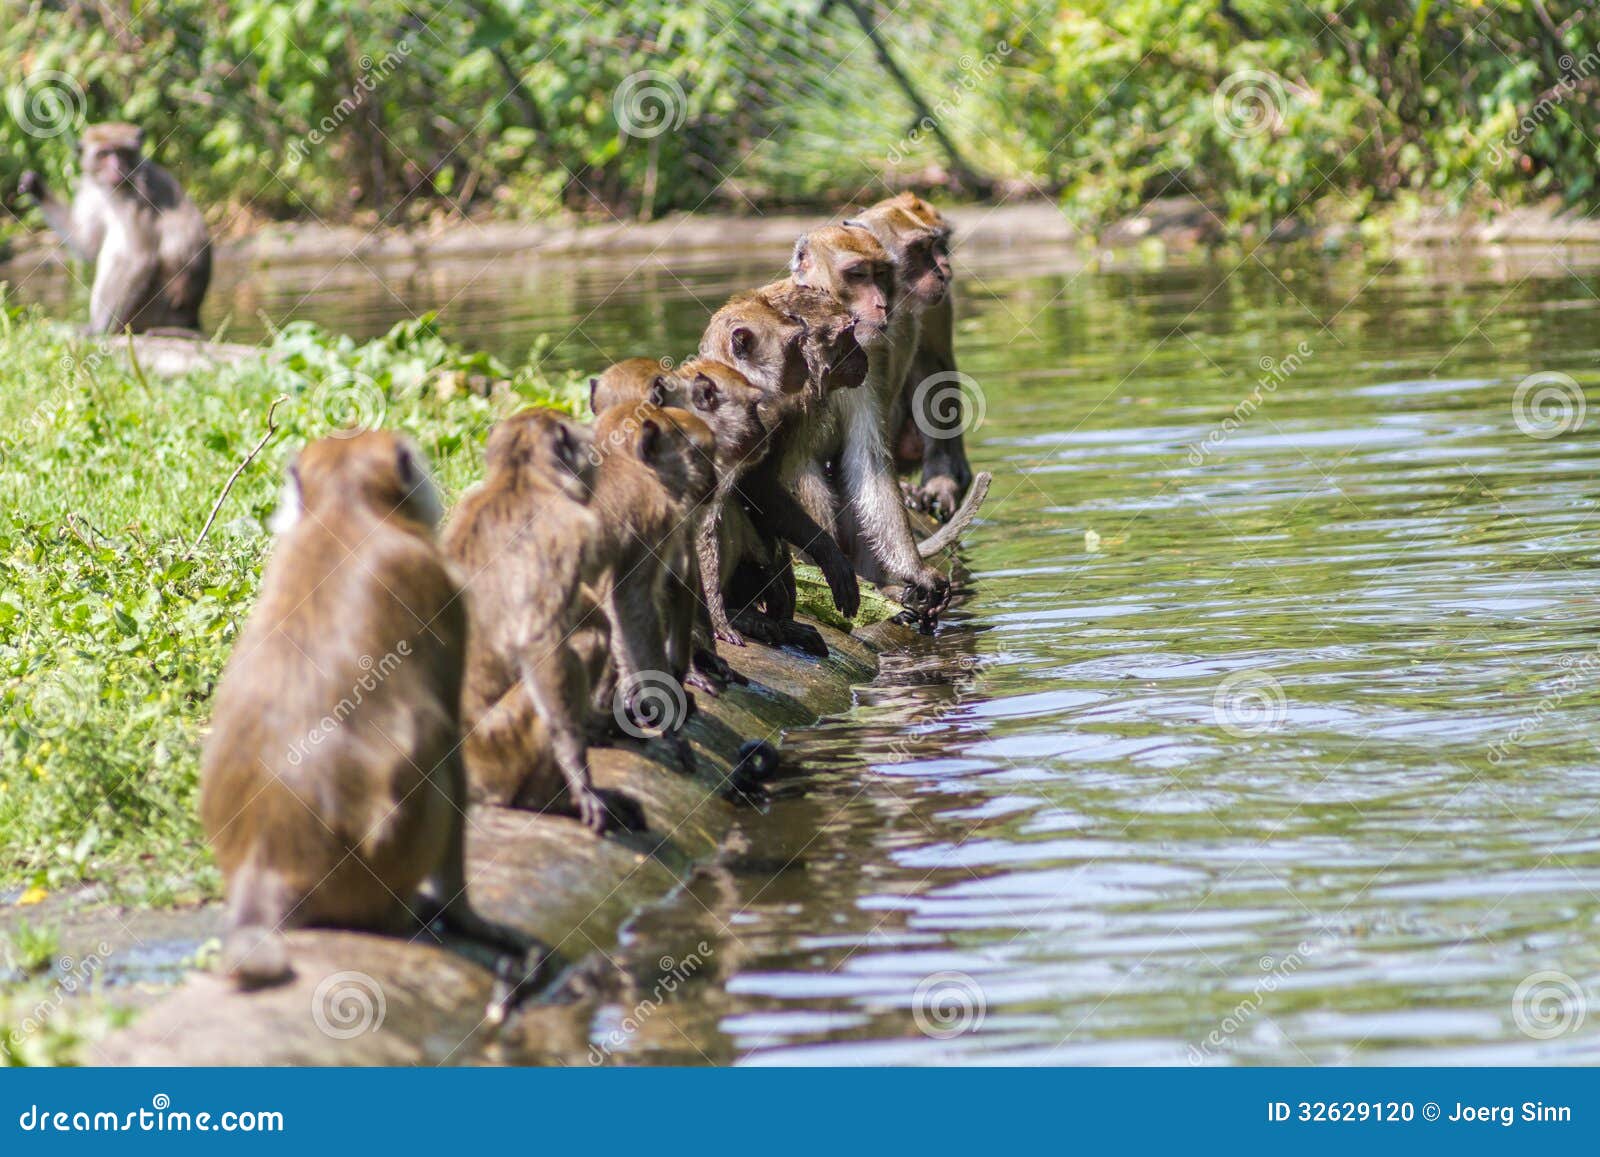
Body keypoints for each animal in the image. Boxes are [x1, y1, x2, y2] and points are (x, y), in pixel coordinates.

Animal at [19, 123, 211, 336]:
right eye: (104, 154)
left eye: (122, 152)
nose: (116, 167)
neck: (109, 189)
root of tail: (191, 317)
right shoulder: (90, 190)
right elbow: (87, 245)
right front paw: (36, 187)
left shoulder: (138, 196)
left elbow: (139, 258)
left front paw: (101, 329)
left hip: (154, 309)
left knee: (117, 254)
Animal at [199, 432, 537, 990]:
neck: (344, 510)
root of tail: (265, 866)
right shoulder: (444, 586)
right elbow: (452, 741)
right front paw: (468, 916)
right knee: (434, 744)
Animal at [442, 408, 644, 835]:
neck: (517, 476)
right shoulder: (570, 527)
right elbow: (539, 643)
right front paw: (580, 776)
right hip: (501, 743)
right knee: (582, 648)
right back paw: (549, 799)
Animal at [864, 192, 974, 520]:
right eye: (921, 249)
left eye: (942, 243)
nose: (943, 266)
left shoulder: (936, 301)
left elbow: (935, 368)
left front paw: (943, 482)